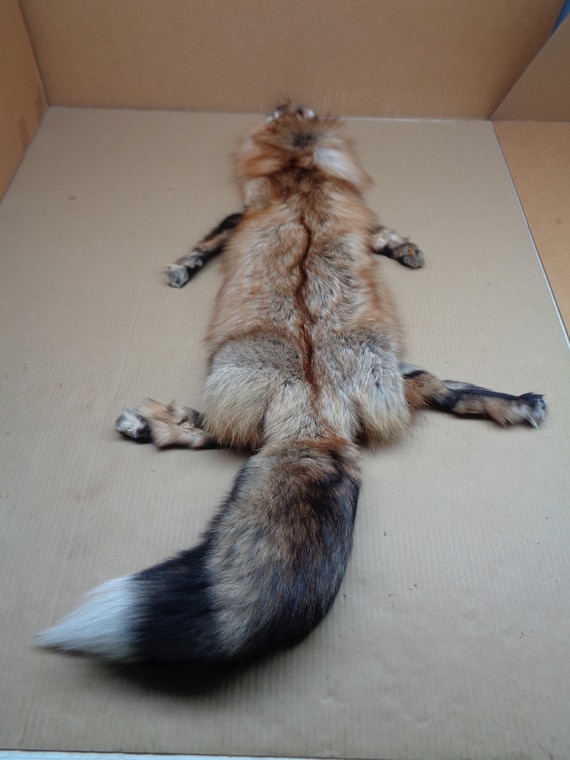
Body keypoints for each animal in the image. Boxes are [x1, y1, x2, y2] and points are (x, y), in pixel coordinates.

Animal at [37, 103, 547, 665]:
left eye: (292, 112)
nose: (283, 101)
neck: (303, 168)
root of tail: (316, 418)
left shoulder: (241, 213)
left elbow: (208, 240)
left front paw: (183, 267)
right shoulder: (345, 215)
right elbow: (381, 234)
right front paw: (406, 248)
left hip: (233, 386)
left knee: (209, 431)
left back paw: (146, 424)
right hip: (402, 375)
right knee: (447, 391)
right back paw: (519, 403)